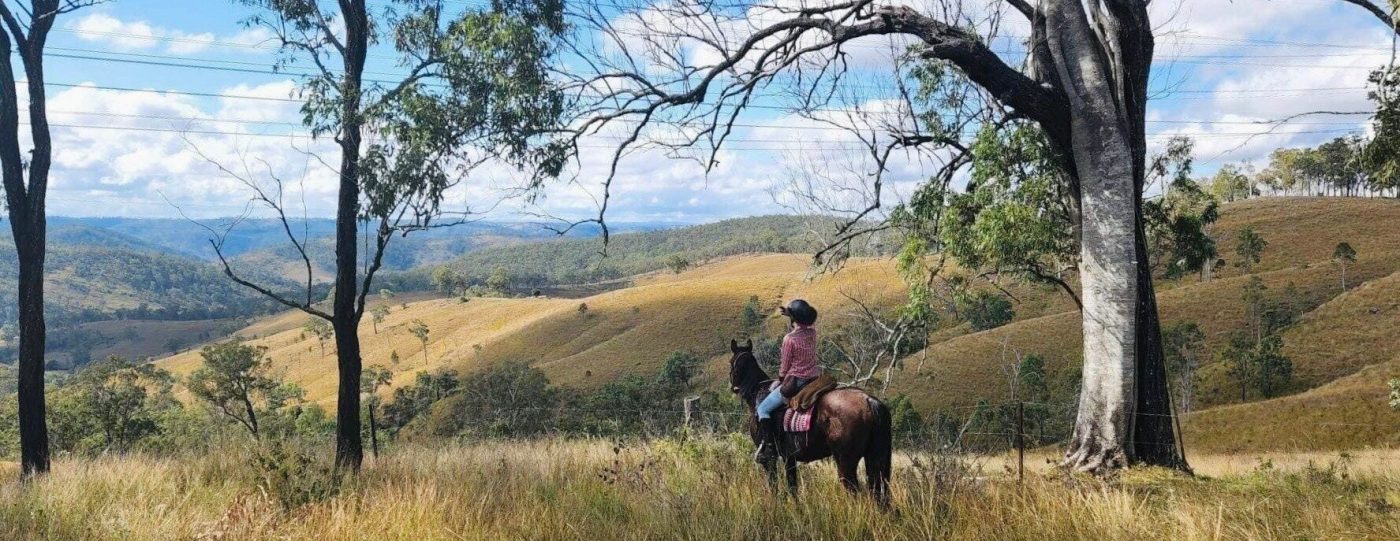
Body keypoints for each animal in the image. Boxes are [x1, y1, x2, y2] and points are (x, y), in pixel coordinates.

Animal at [728, 339, 892, 506]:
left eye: (731, 362)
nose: (734, 387)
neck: (758, 394)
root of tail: (868, 400)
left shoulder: (769, 460)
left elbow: (773, 485)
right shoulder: (789, 458)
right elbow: (792, 487)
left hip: (846, 461)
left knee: (854, 491)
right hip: (875, 457)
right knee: (879, 490)